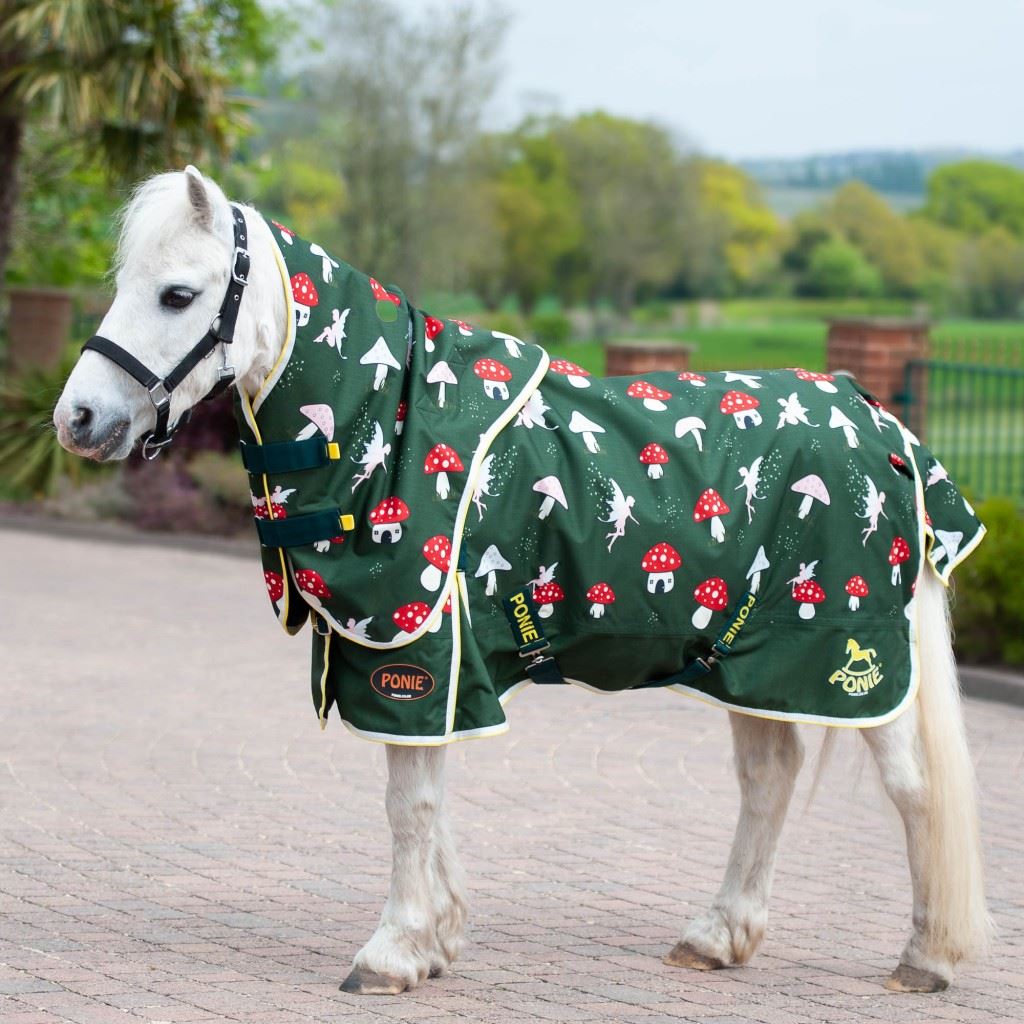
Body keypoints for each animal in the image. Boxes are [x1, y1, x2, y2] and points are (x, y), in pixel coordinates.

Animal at [53, 167, 992, 996]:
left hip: (849, 657)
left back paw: (926, 958)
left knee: (913, 789)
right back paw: (719, 935)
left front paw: (393, 950)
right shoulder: (419, 667)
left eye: (178, 294)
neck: (385, 421)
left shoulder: (417, 655)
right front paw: (434, 940)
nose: (79, 419)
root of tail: (876, 421)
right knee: (770, 777)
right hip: (753, 656)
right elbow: (426, 799)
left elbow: (408, 804)